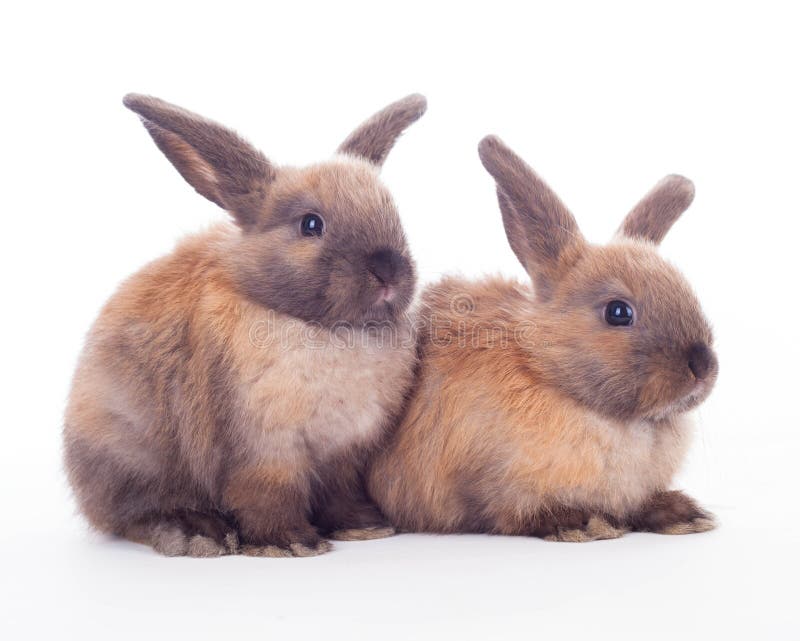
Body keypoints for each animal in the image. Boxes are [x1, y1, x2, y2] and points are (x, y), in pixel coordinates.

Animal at [64, 92, 426, 557]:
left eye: (393, 213)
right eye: (311, 224)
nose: (389, 270)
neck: (330, 329)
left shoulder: (343, 455)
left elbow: (338, 494)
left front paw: (364, 527)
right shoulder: (263, 452)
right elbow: (267, 498)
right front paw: (291, 544)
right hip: (131, 453)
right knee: (138, 511)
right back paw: (197, 533)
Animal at [368, 135, 718, 542]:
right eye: (618, 312)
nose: (703, 366)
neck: (547, 373)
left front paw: (684, 514)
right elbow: (517, 513)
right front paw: (583, 522)